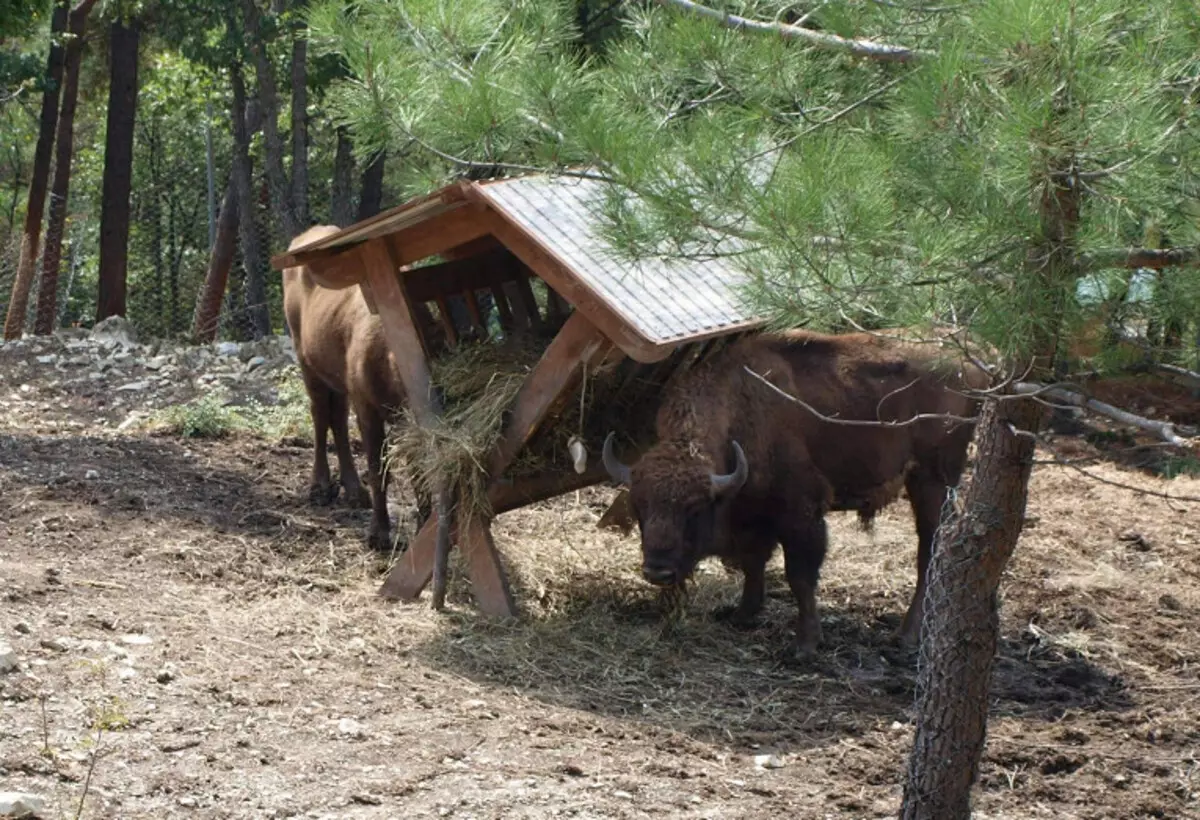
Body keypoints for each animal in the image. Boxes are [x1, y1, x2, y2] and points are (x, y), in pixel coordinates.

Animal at [600, 326, 984, 653]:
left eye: (695, 508)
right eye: (639, 506)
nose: (657, 571)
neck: (741, 409)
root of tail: (979, 355)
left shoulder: (802, 513)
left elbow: (799, 576)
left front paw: (806, 645)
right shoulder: (753, 516)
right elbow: (754, 563)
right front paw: (742, 614)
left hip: (932, 481)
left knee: (928, 552)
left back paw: (906, 636)